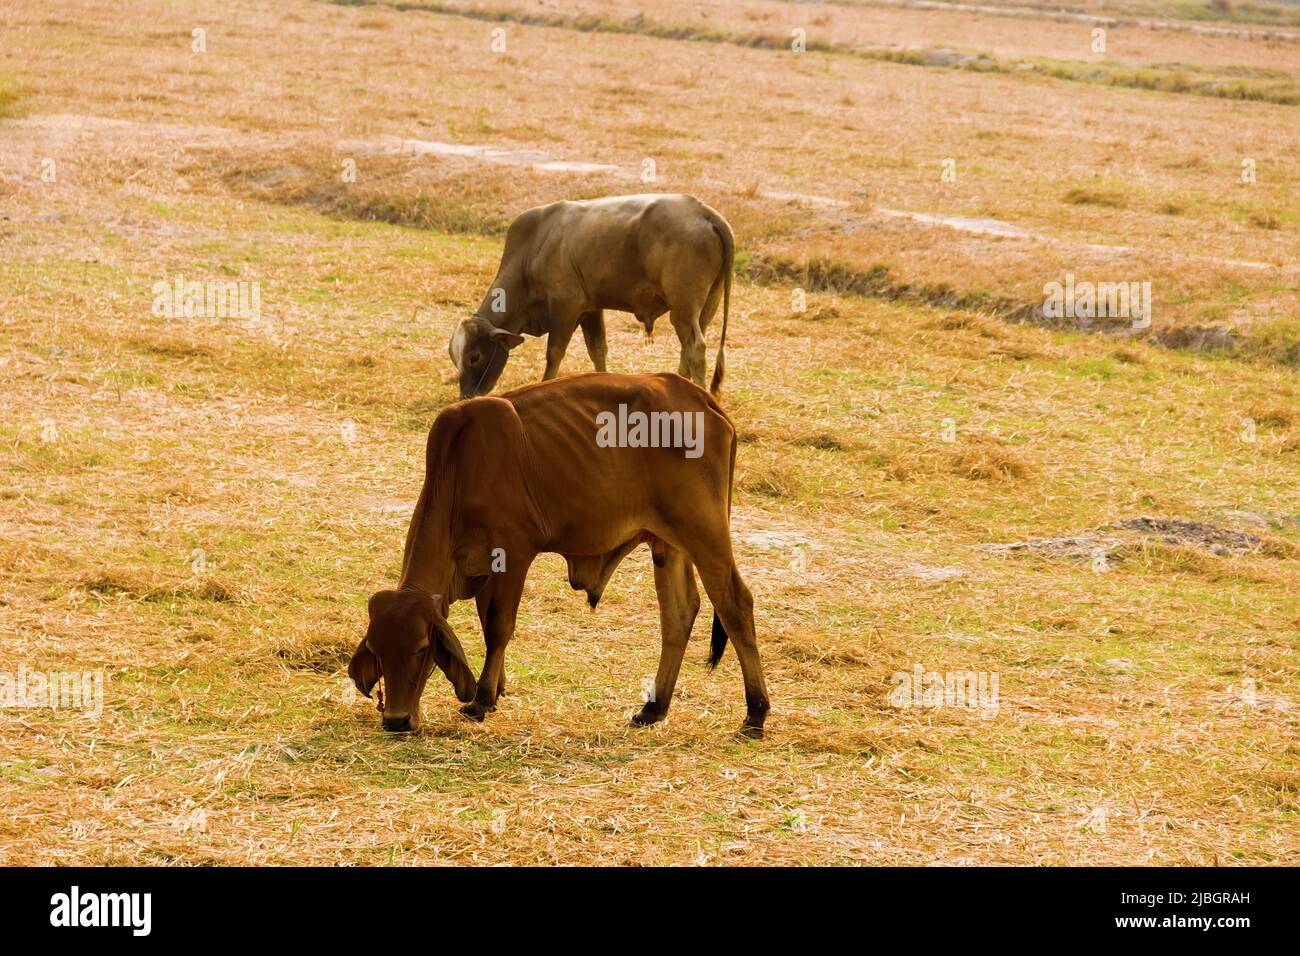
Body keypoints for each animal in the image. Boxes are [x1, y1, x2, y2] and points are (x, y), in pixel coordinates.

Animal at [348, 372, 770, 738]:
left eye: (422, 648)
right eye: (377, 650)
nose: (396, 720)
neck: (460, 465)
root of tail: (700, 397)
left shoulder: (514, 554)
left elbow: (498, 627)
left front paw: (481, 699)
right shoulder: (485, 569)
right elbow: (487, 623)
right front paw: (497, 688)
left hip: (705, 533)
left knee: (735, 606)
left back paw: (756, 712)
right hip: (667, 542)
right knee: (679, 615)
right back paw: (653, 707)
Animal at [449, 194, 735, 400]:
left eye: (474, 357)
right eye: (456, 359)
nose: (466, 397)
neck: (533, 249)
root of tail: (704, 212)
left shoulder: (565, 307)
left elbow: (554, 353)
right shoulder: (591, 310)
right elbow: (598, 351)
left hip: (683, 309)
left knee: (696, 348)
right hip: (704, 308)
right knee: (689, 346)